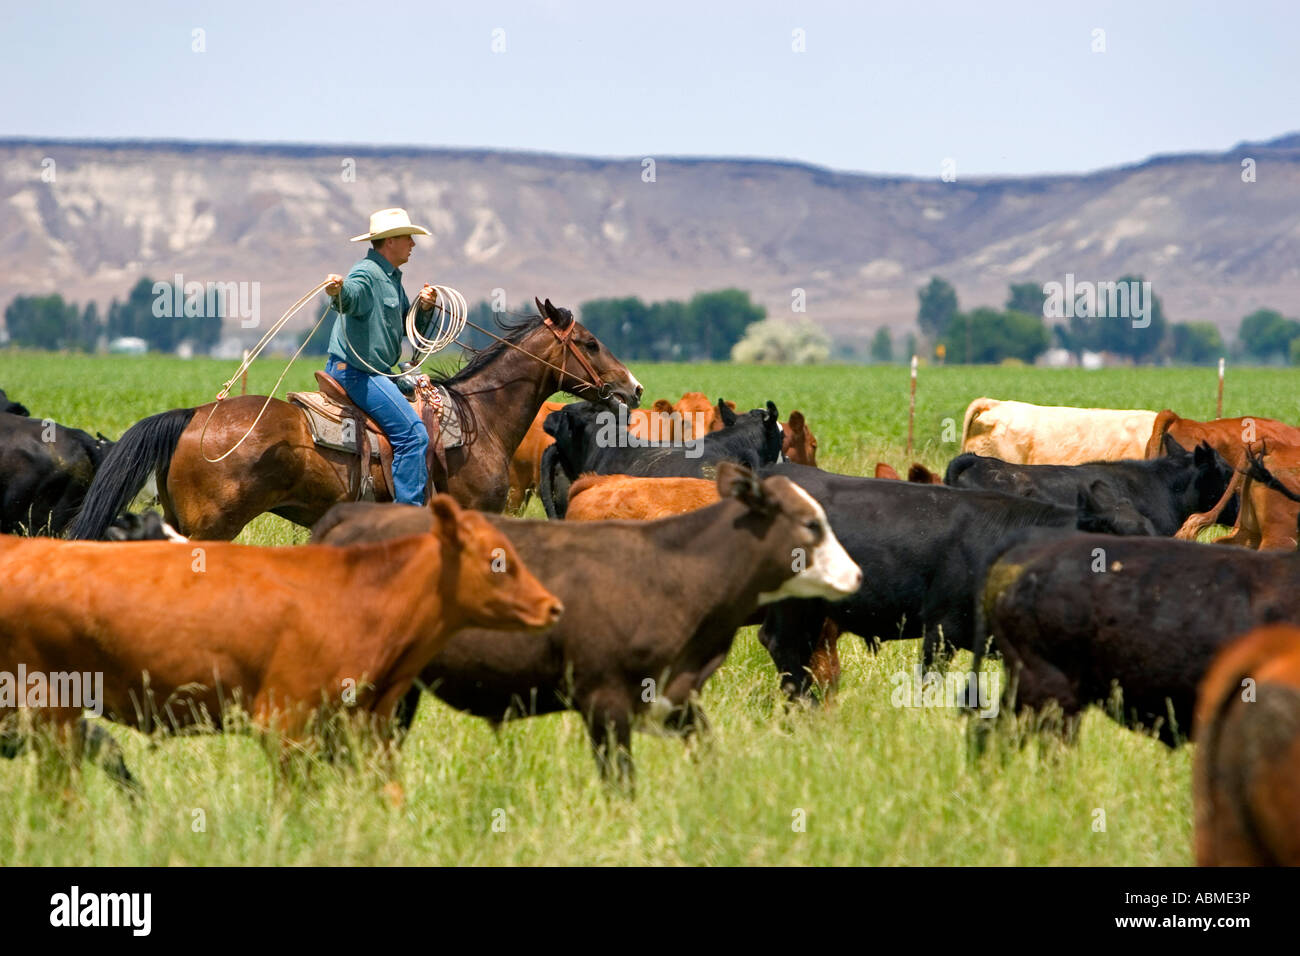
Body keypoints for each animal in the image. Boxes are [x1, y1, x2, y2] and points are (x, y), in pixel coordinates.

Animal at [311, 462, 862, 788]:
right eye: (811, 524)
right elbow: (620, 783)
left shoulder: (676, 697)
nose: (856, 575)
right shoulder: (604, 701)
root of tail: (351, 517)